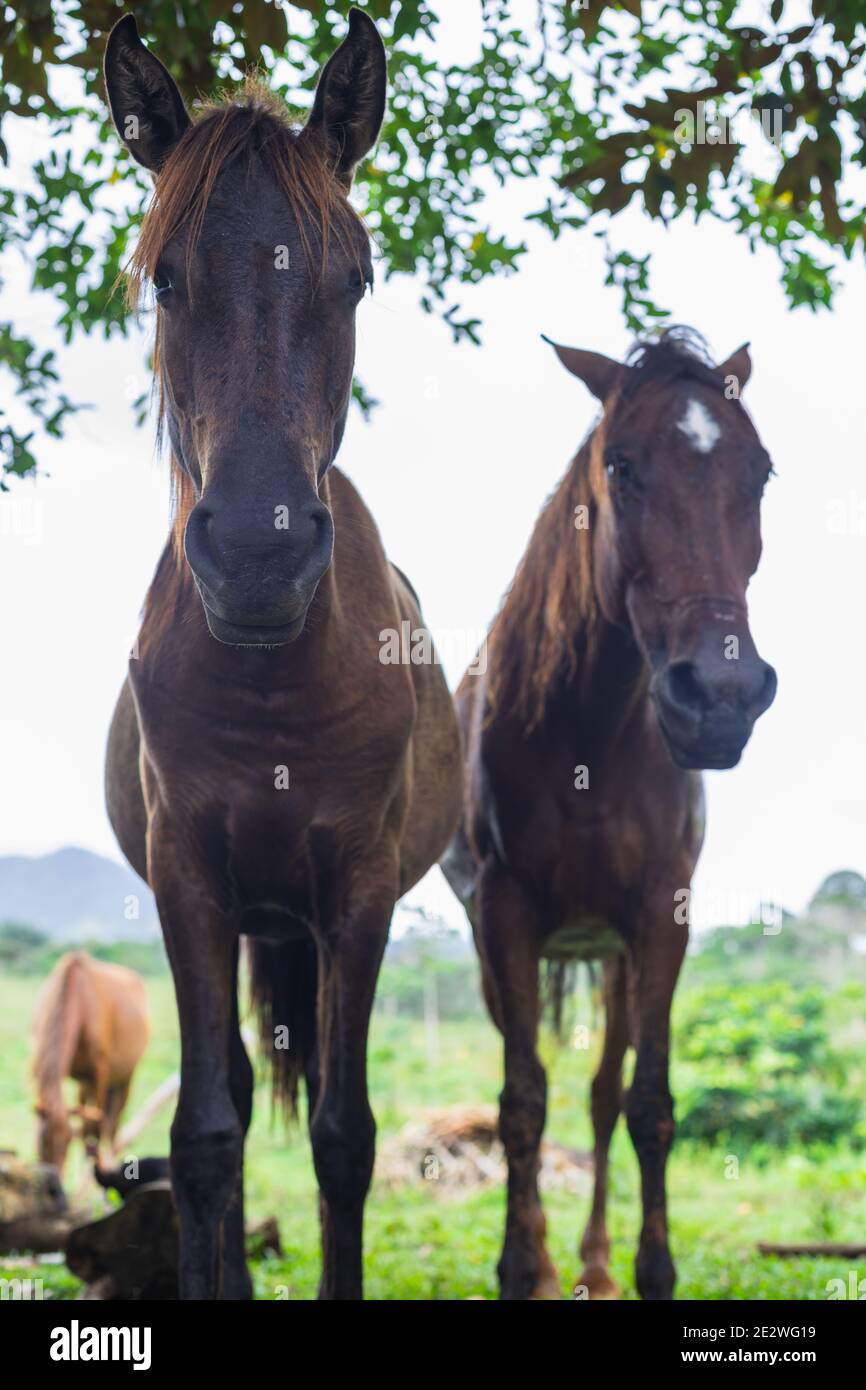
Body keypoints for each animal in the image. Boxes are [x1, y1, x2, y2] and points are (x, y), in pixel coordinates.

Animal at [32, 950, 150, 1175]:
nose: (54, 1176)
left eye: (67, 1142)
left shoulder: (99, 1073)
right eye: (42, 1142)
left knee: (112, 1125)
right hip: (84, 1082)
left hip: (124, 1078)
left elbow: (93, 1128)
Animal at [102, 11, 461, 1300]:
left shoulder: (356, 893)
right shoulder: (188, 883)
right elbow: (207, 1135)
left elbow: (344, 1138)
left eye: (352, 274)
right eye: (166, 277)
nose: (258, 558)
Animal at [441, 328, 777, 1300]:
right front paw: (522, 1267)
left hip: (617, 957)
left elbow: (648, 1103)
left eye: (762, 472)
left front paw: (649, 1268)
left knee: (599, 1093)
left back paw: (593, 1263)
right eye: (621, 466)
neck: (587, 738)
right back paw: (558, 1262)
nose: (722, 698)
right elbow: (521, 1103)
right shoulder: (506, 918)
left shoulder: (661, 919)